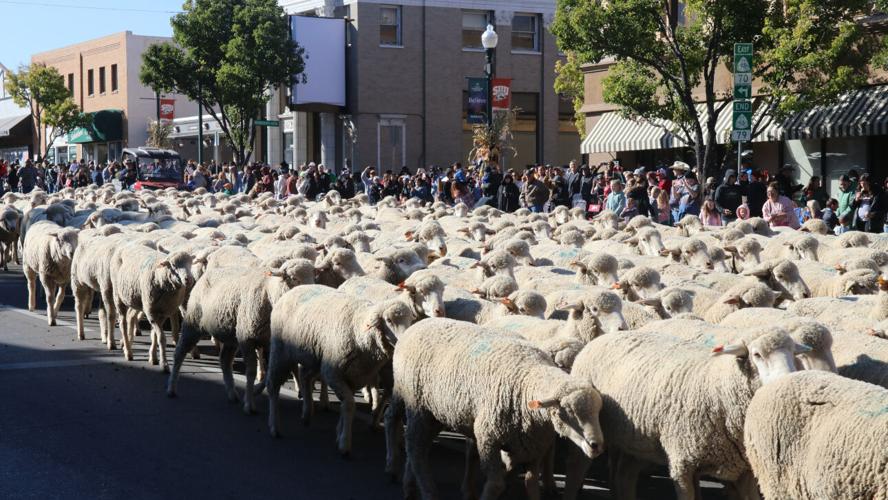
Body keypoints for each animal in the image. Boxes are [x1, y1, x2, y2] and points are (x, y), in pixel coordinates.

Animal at [167, 258, 316, 413]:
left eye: (313, 276)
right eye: (293, 278)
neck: (269, 293)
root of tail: (208, 272)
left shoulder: (271, 343)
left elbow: (269, 372)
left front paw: (256, 390)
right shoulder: (247, 338)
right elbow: (250, 371)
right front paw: (249, 404)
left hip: (230, 335)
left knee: (225, 360)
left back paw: (232, 393)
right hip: (193, 321)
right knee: (180, 352)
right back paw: (171, 388)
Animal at [266, 285, 417, 456]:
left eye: (409, 320)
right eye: (389, 320)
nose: (405, 342)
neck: (359, 330)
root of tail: (292, 290)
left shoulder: (352, 374)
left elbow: (346, 405)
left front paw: (339, 434)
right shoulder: (333, 372)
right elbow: (350, 404)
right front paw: (345, 444)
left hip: (315, 357)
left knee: (305, 377)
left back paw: (307, 413)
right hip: (281, 351)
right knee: (273, 385)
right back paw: (274, 427)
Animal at [385, 318, 604, 499]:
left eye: (597, 411)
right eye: (568, 411)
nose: (596, 445)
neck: (527, 381)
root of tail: (417, 324)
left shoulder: (533, 447)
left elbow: (531, 483)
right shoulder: (488, 437)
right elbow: (496, 484)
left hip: (436, 413)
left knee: (417, 445)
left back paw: (409, 484)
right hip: (415, 405)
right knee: (413, 445)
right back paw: (423, 488)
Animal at [564, 328, 805, 500]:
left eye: (794, 354)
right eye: (757, 354)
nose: (787, 380)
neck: (718, 386)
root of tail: (603, 337)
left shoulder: (745, 470)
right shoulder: (683, 464)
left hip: (637, 442)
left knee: (624, 477)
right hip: (588, 427)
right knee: (576, 469)